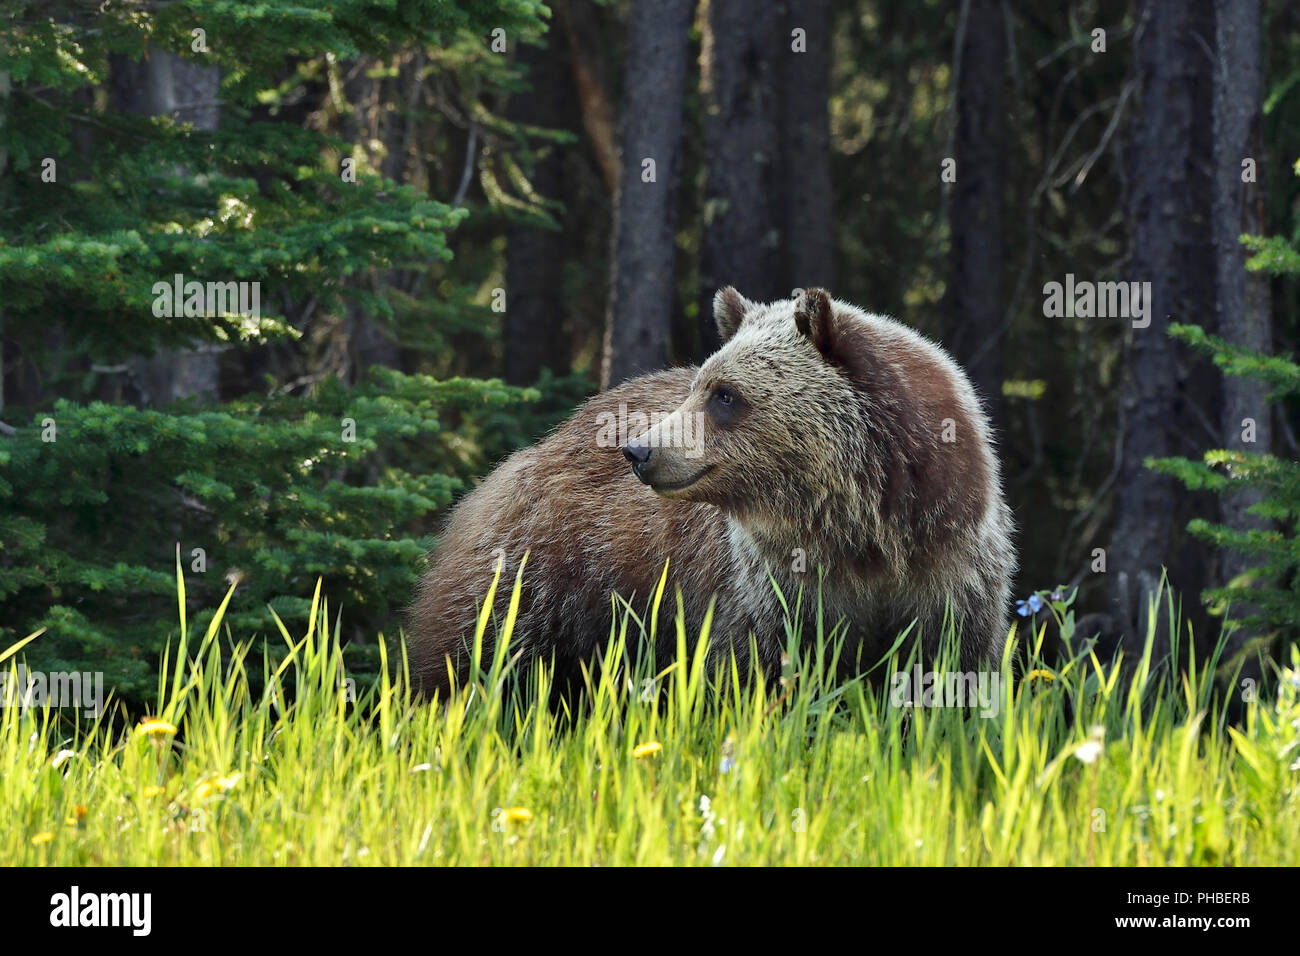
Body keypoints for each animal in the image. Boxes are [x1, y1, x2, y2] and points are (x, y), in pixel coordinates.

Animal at [408, 287, 1016, 699]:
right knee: (473, 654)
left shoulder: (950, 579)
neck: (862, 533)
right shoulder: (764, 591)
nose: (638, 450)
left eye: (725, 394)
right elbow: (755, 675)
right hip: (544, 569)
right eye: (702, 384)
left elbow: (945, 678)